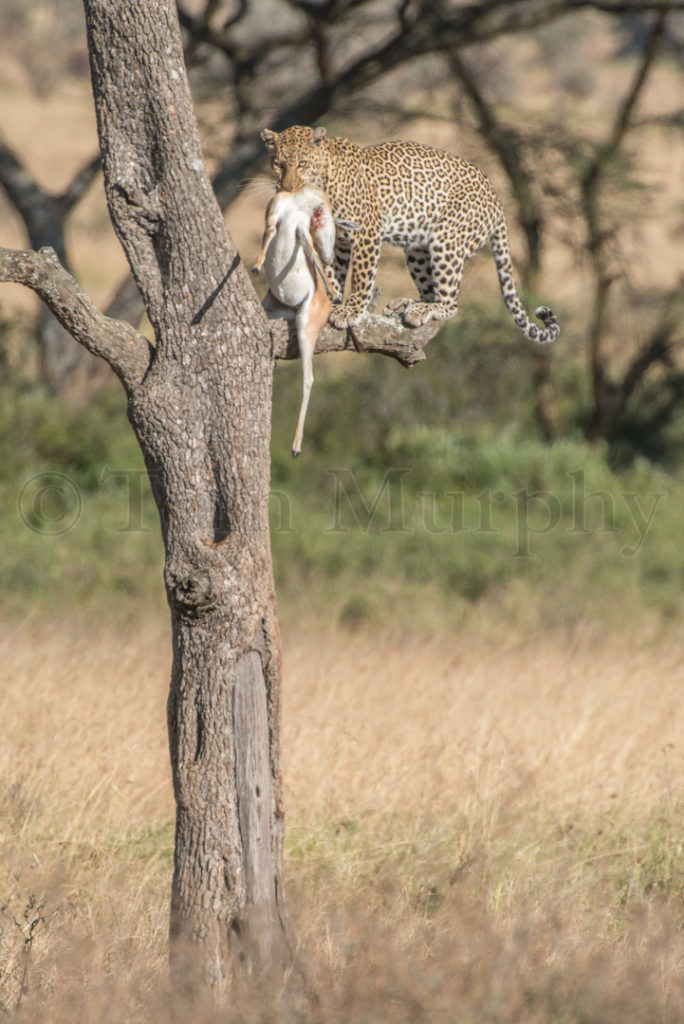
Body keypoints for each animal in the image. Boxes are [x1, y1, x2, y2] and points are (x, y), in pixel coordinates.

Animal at [260, 125, 559, 344]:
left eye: (302, 163)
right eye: (278, 164)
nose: (286, 187)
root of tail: (497, 201)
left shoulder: (367, 232)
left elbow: (360, 277)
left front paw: (351, 310)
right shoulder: (337, 239)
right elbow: (331, 273)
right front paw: (331, 302)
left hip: (446, 240)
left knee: (450, 302)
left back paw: (425, 310)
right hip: (417, 249)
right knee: (429, 289)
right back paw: (407, 304)